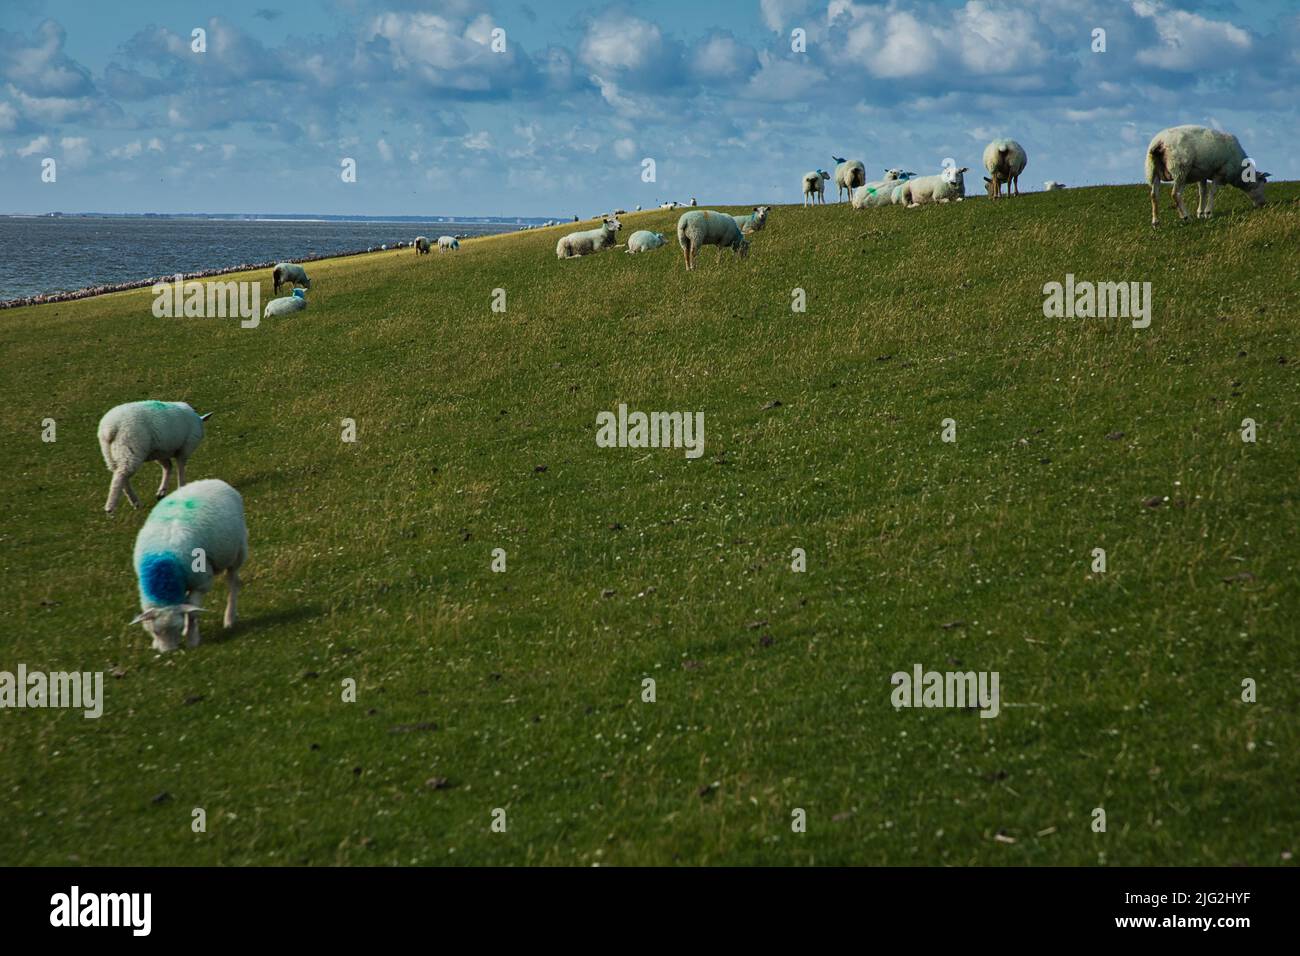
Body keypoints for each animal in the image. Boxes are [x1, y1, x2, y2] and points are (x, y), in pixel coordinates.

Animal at [130, 478, 247, 652]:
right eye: (155, 632)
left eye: (176, 628)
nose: (168, 652)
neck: (164, 567)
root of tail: (212, 480)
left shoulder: (201, 582)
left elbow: (192, 613)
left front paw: (192, 640)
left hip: (237, 551)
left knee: (233, 582)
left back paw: (229, 619)